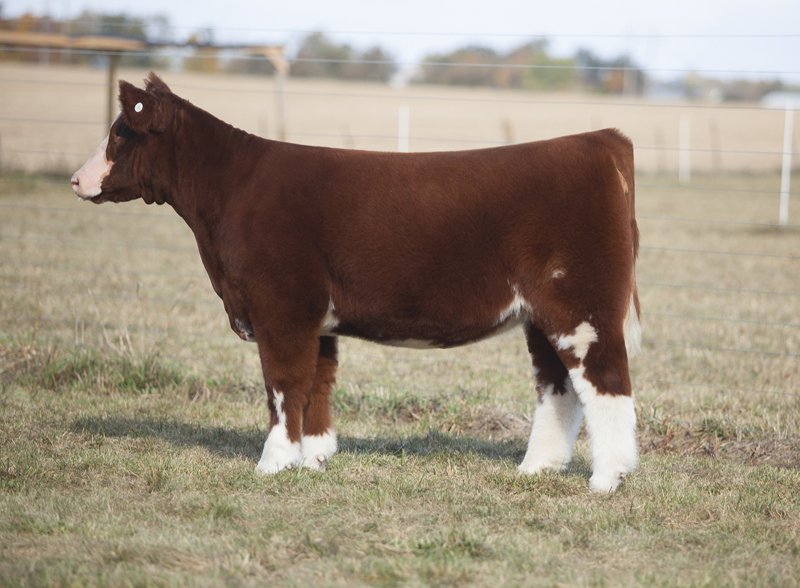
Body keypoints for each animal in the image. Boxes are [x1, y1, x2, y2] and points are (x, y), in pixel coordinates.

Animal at [71, 73, 641, 493]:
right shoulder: (315, 317)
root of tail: (601, 141)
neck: (229, 195)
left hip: (581, 304)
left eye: (121, 132)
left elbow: (283, 385)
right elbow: (316, 385)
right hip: (541, 314)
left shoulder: (281, 306)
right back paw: (537, 468)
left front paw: (273, 463)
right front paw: (315, 457)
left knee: (606, 381)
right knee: (559, 387)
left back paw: (608, 478)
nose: (76, 179)